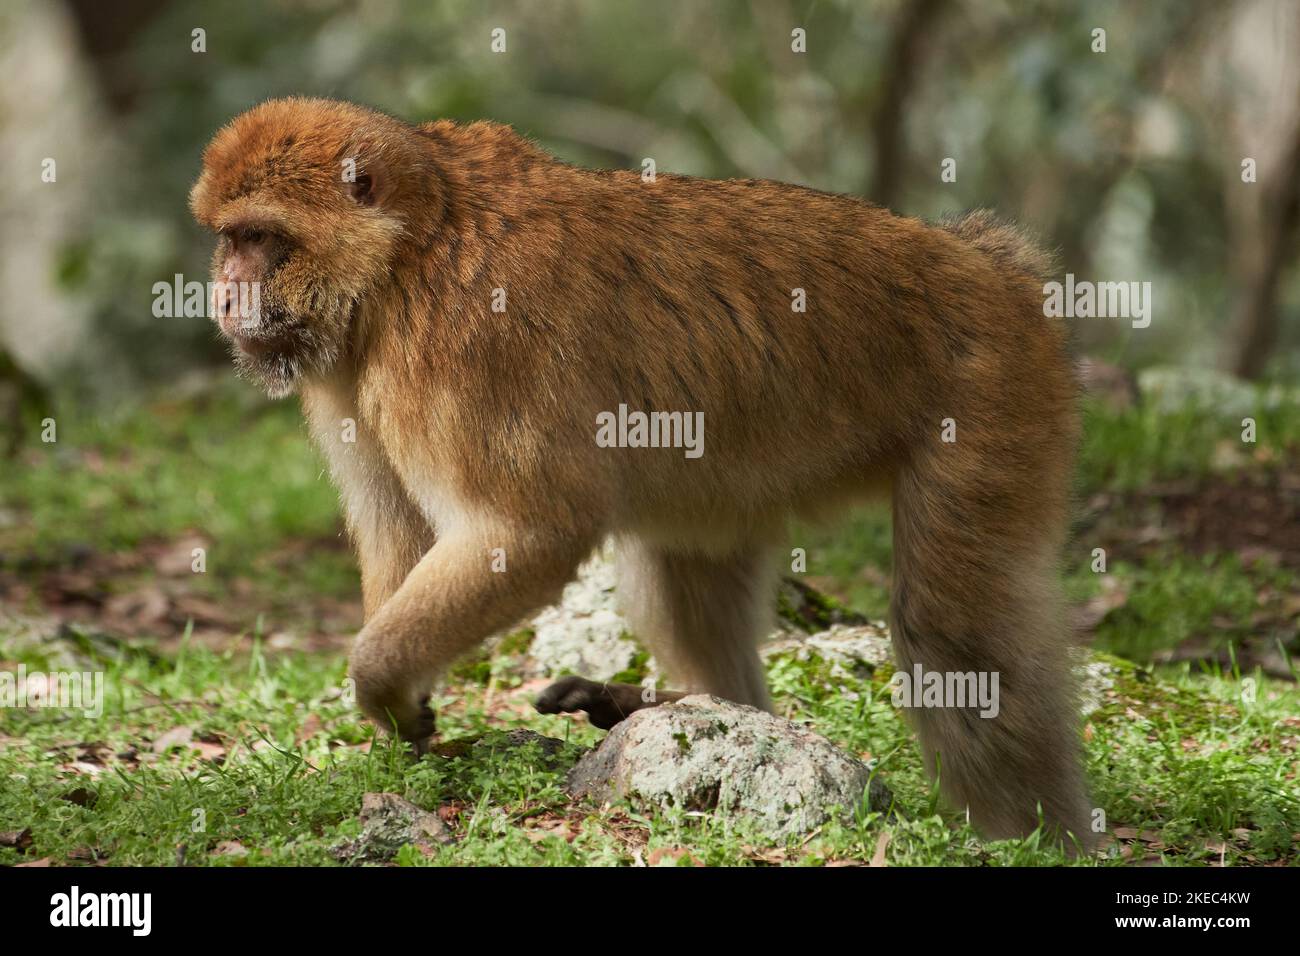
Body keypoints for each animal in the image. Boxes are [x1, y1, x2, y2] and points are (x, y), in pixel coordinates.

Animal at [190, 97, 1091, 849]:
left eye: (261, 239)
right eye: (228, 239)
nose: (225, 294)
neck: (411, 250)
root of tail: (985, 260)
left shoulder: (458, 347)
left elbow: (528, 532)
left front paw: (382, 684)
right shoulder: (349, 372)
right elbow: (403, 536)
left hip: (989, 390)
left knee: (953, 630)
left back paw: (1035, 837)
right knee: (684, 575)